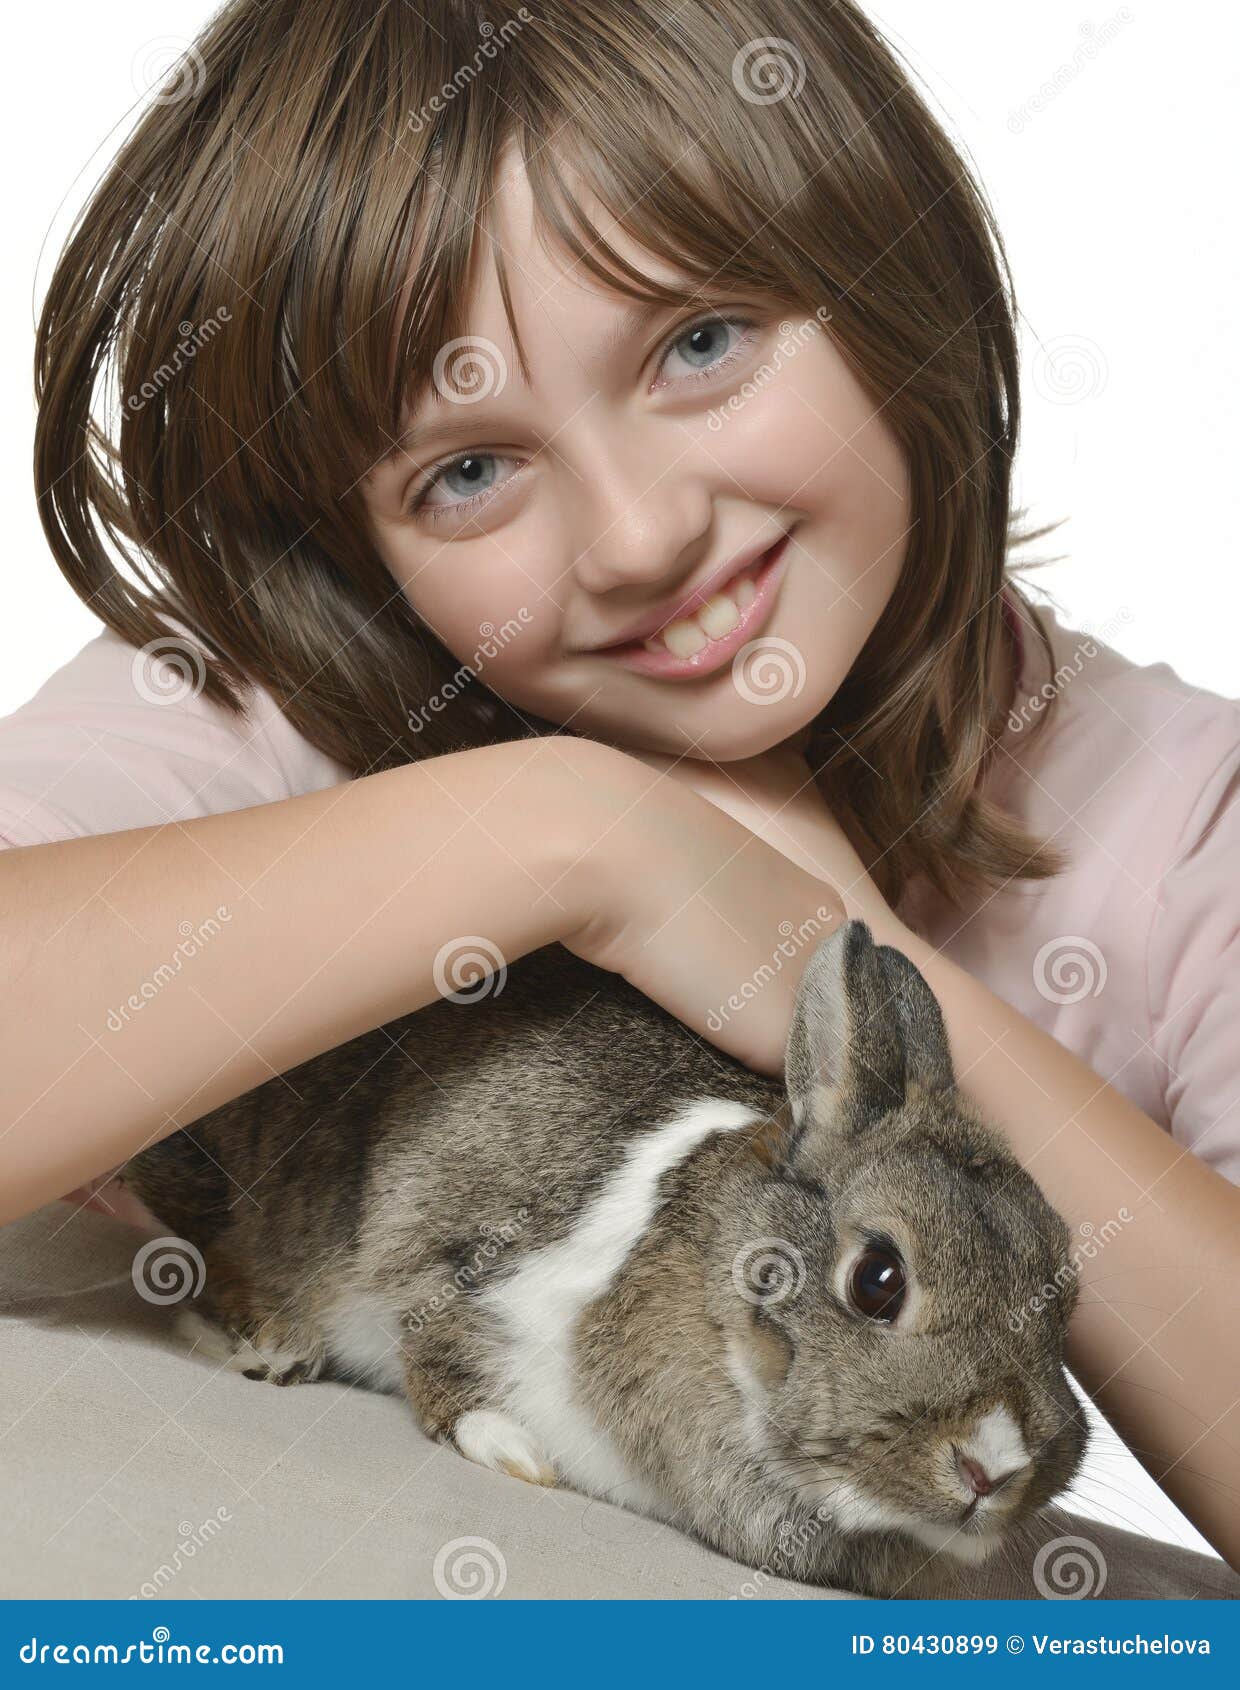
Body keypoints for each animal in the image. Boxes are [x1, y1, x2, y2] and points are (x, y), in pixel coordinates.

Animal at [122, 918, 1087, 1598]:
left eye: (1065, 1305)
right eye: (878, 1279)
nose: (995, 1468)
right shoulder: (455, 1272)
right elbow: (440, 1360)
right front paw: (515, 1451)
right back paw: (267, 1339)